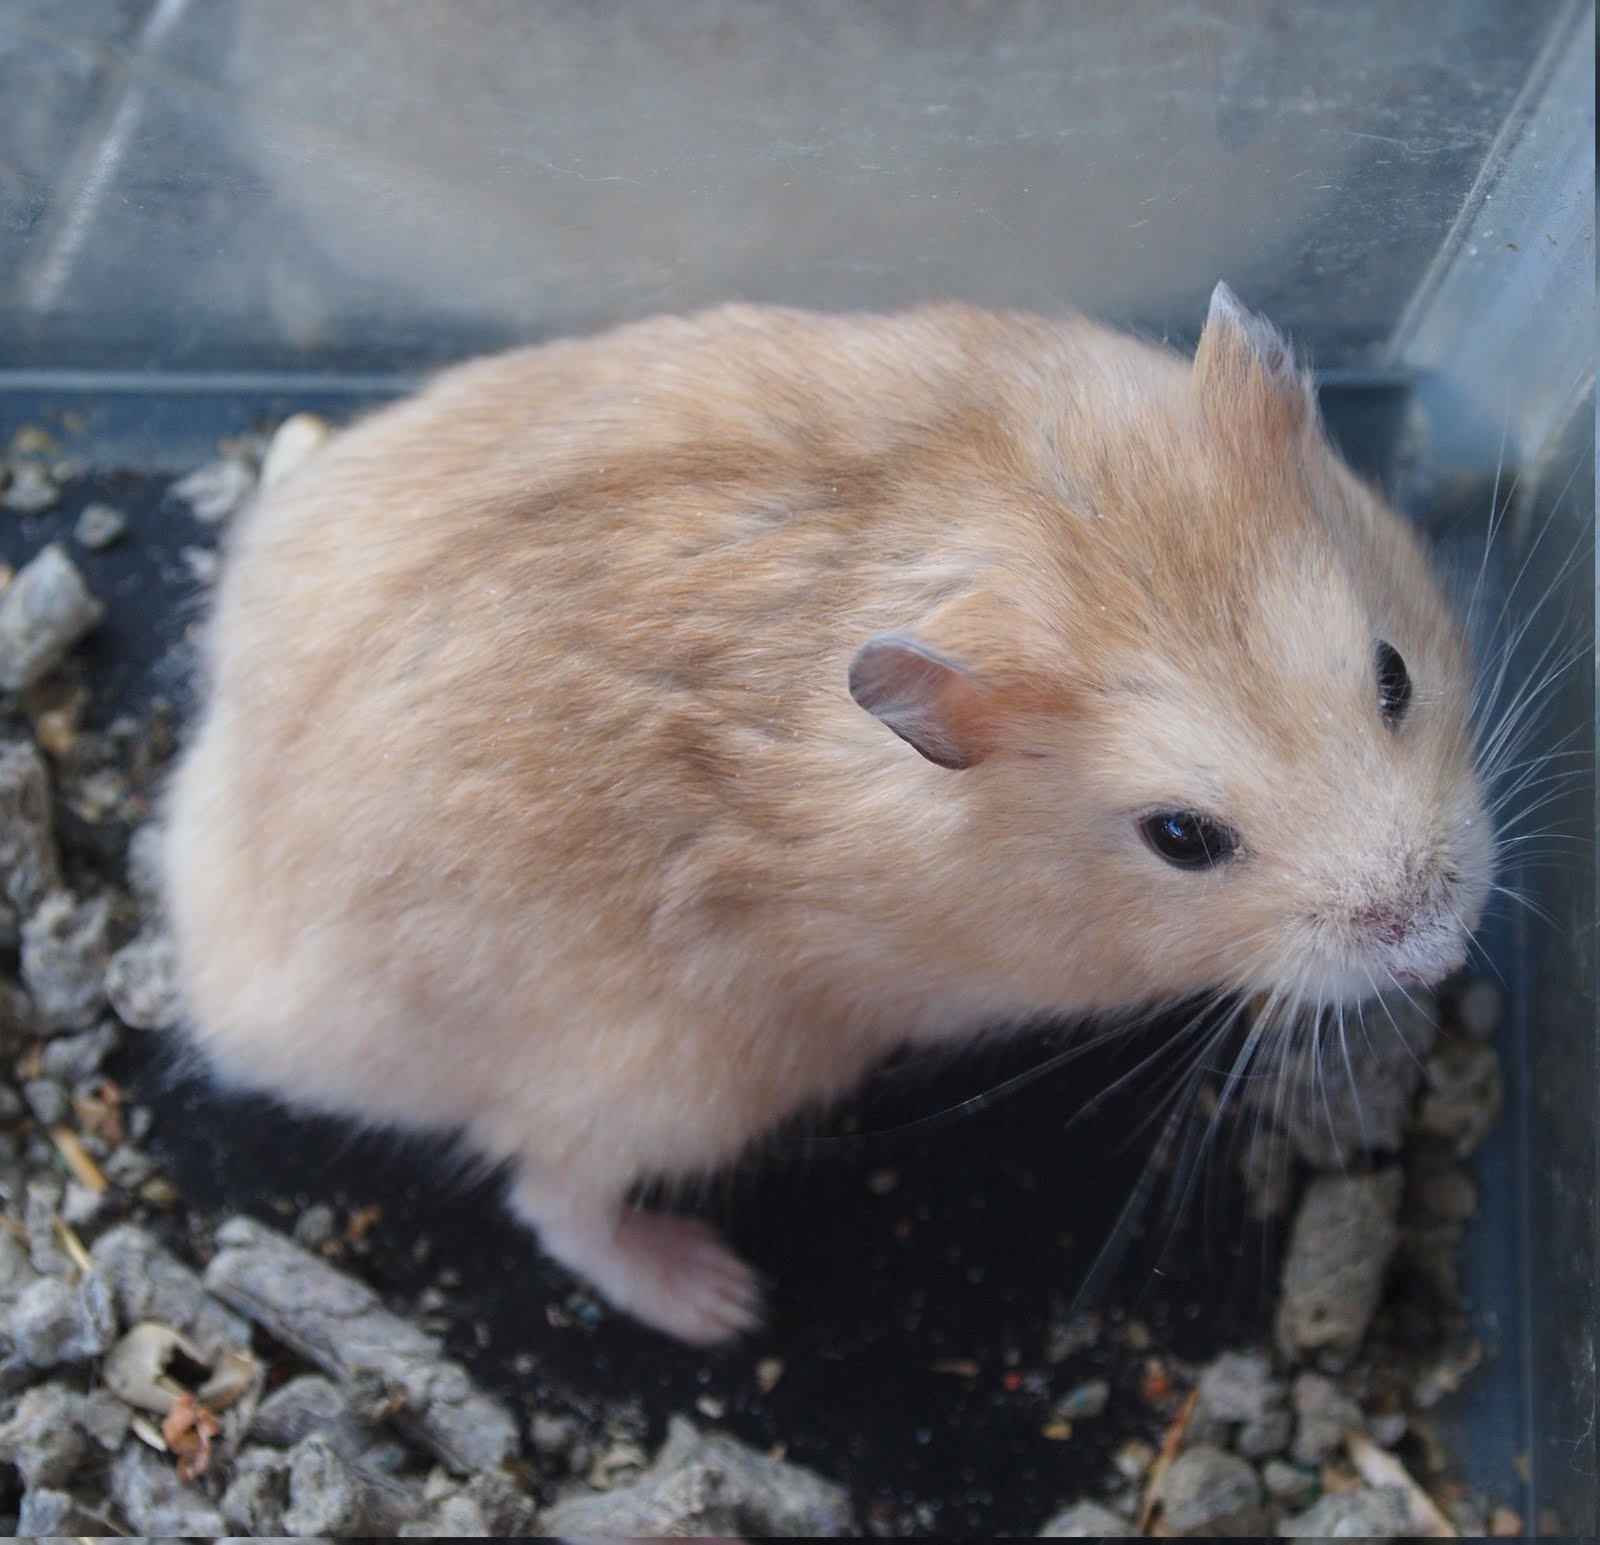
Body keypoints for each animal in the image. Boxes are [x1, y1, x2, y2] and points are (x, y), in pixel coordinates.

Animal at [160, 285, 1493, 1344]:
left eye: (1393, 677)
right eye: (1181, 840)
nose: (1446, 953)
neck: (1056, 550)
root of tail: (229, 984)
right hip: (676, 1078)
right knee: (552, 1196)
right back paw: (714, 1300)